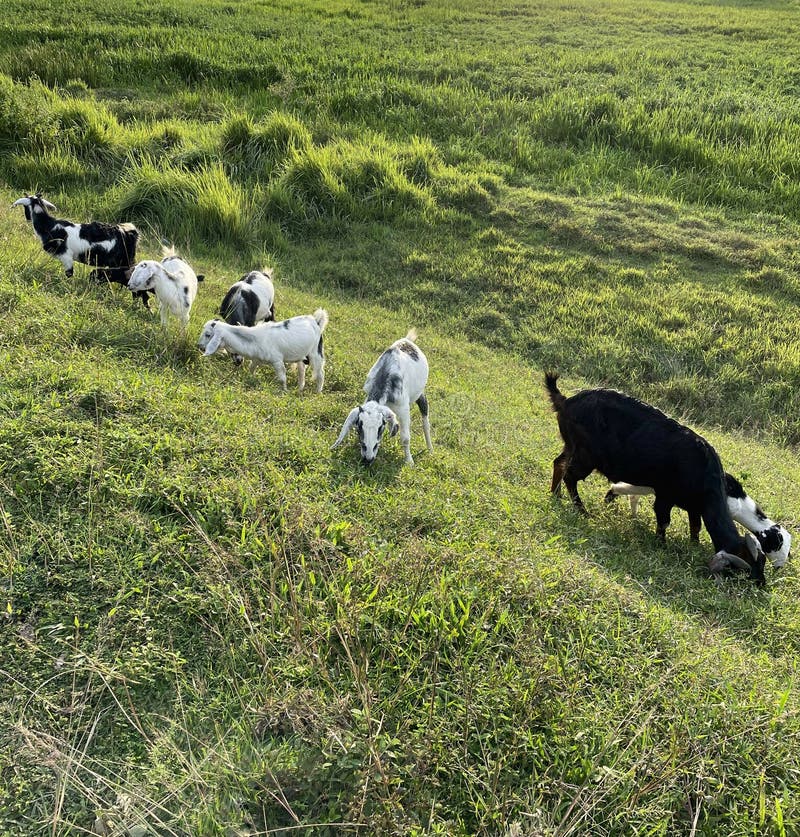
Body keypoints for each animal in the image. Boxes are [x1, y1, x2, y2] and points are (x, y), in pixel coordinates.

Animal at [11, 193, 150, 307]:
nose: (28, 218)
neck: (49, 226)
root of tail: (130, 232)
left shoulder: (66, 255)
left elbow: (69, 274)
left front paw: (67, 287)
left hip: (124, 263)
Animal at [198, 309, 328, 392]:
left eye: (208, 334)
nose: (199, 346)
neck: (254, 339)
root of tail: (316, 321)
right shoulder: (256, 359)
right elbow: (251, 369)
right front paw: (249, 379)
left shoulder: (277, 360)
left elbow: (282, 378)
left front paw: (285, 391)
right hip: (302, 356)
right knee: (302, 371)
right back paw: (300, 389)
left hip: (316, 353)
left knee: (320, 373)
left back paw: (317, 392)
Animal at [332, 330, 433, 465]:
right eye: (359, 426)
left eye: (380, 427)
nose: (367, 459)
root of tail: (408, 340)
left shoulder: (403, 409)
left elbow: (405, 438)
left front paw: (409, 462)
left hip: (420, 394)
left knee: (425, 418)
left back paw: (430, 449)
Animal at [545, 372, 766, 583]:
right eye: (744, 569)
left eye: (761, 563)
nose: (760, 582)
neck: (704, 472)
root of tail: (566, 401)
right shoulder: (665, 496)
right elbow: (664, 520)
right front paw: (662, 544)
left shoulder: (694, 506)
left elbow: (696, 526)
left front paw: (693, 545)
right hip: (586, 456)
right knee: (570, 476)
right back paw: (581, 510)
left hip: (571, 446)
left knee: (559, 463)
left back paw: (556, 495)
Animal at [606, 474, 791, 568]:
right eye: (777, 544)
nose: (780, 567)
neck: (739, 503)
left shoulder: (695, 509)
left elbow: (695, 527)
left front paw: (694, 545)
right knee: (621, 487)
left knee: (629, 492)